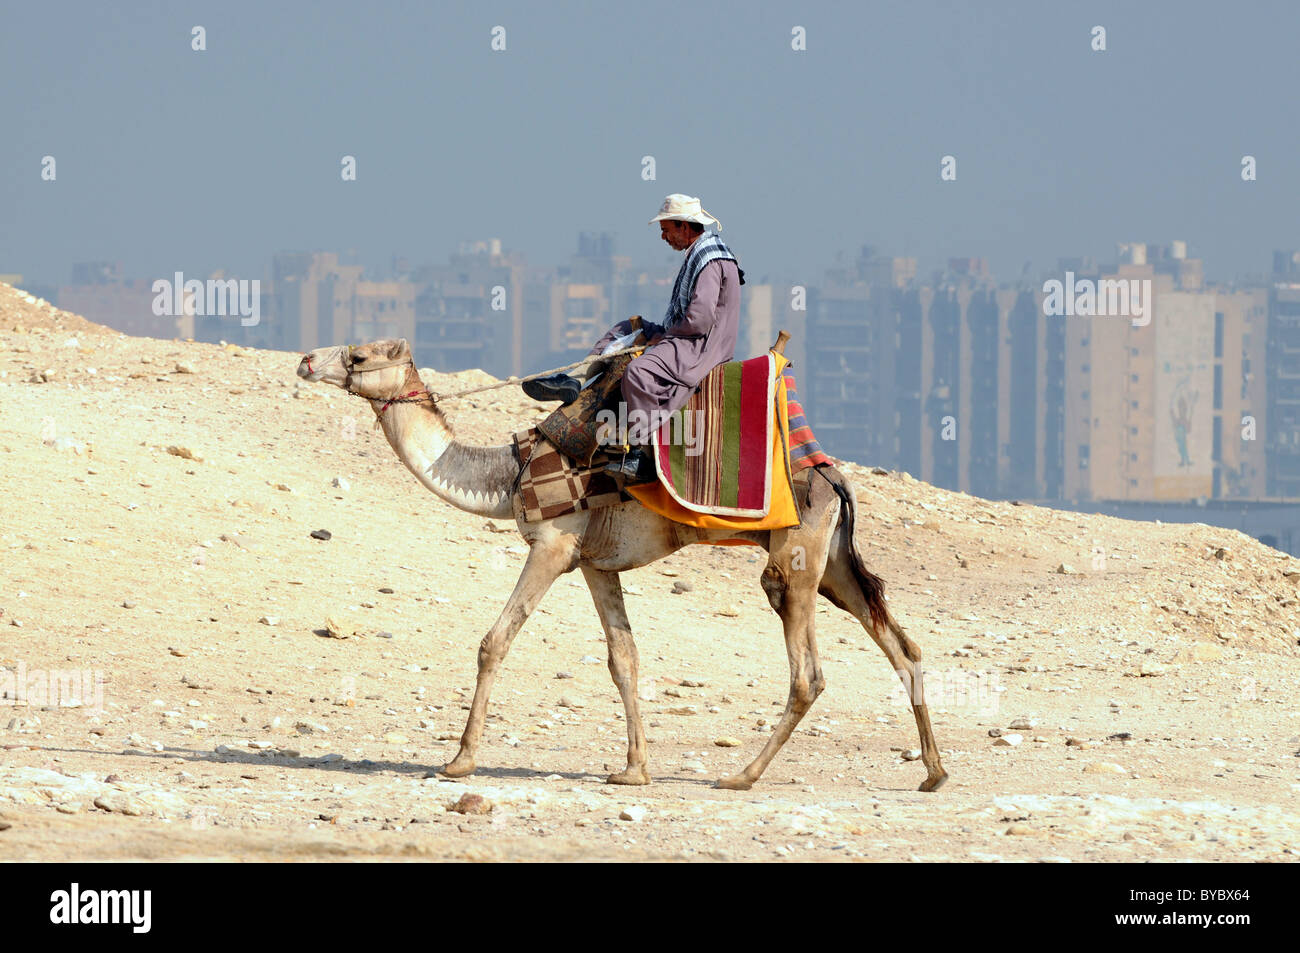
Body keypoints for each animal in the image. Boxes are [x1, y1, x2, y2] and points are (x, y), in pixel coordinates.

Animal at [295, 338, 947, 792]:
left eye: (359, 353)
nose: (304, 360)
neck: (508, 474)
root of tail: (833, 475)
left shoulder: (552, 545)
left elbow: (495, 640)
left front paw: (460, 760)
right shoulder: (594, 563)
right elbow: (624, 659)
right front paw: (634, 769)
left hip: (796, 555)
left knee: (806, 670)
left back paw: (741, 776)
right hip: (833, 561)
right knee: (902, 646)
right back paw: (933, 773)